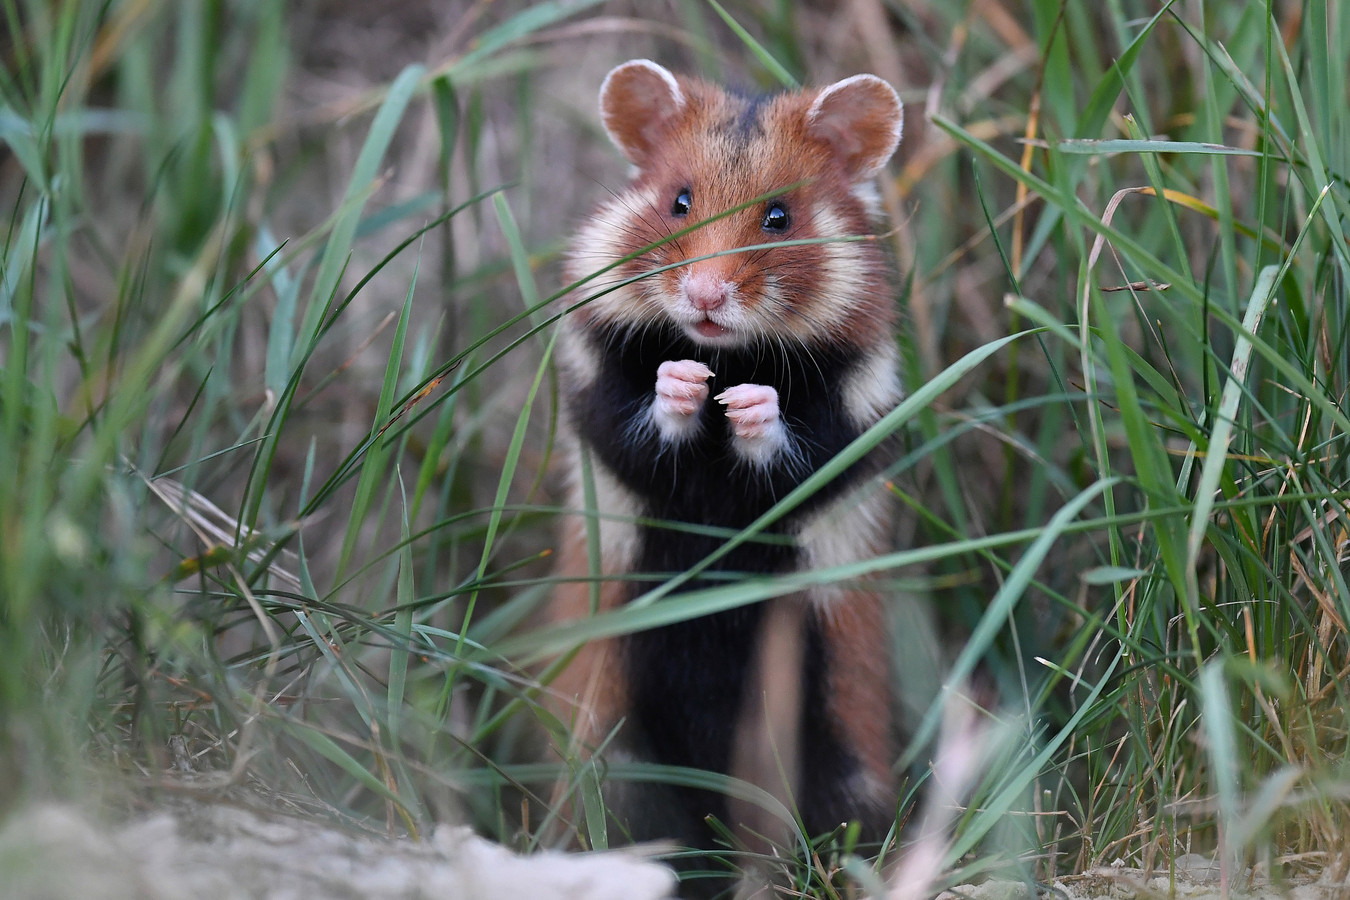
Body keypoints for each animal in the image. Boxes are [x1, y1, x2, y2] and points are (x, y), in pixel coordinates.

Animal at [546, 59, 904, 884]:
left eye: (779, 217)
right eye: (677, 200)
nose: (706, 297)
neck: (729, 352)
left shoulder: (858, 415)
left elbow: (798, 448)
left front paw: (745, 403)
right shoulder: (594, 393)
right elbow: (639, 422)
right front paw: (685, 382)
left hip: (835, 737)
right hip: (611, 740)